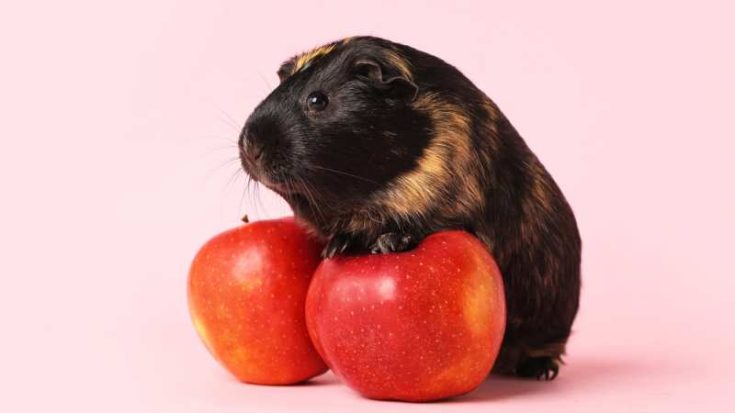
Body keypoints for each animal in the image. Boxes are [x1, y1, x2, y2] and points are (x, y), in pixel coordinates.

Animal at [239, 36, 581, 380]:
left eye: (318, 100)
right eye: (279, 88)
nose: (251, 146)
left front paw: (388, 243)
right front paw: (336, 249)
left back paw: (541, 372)